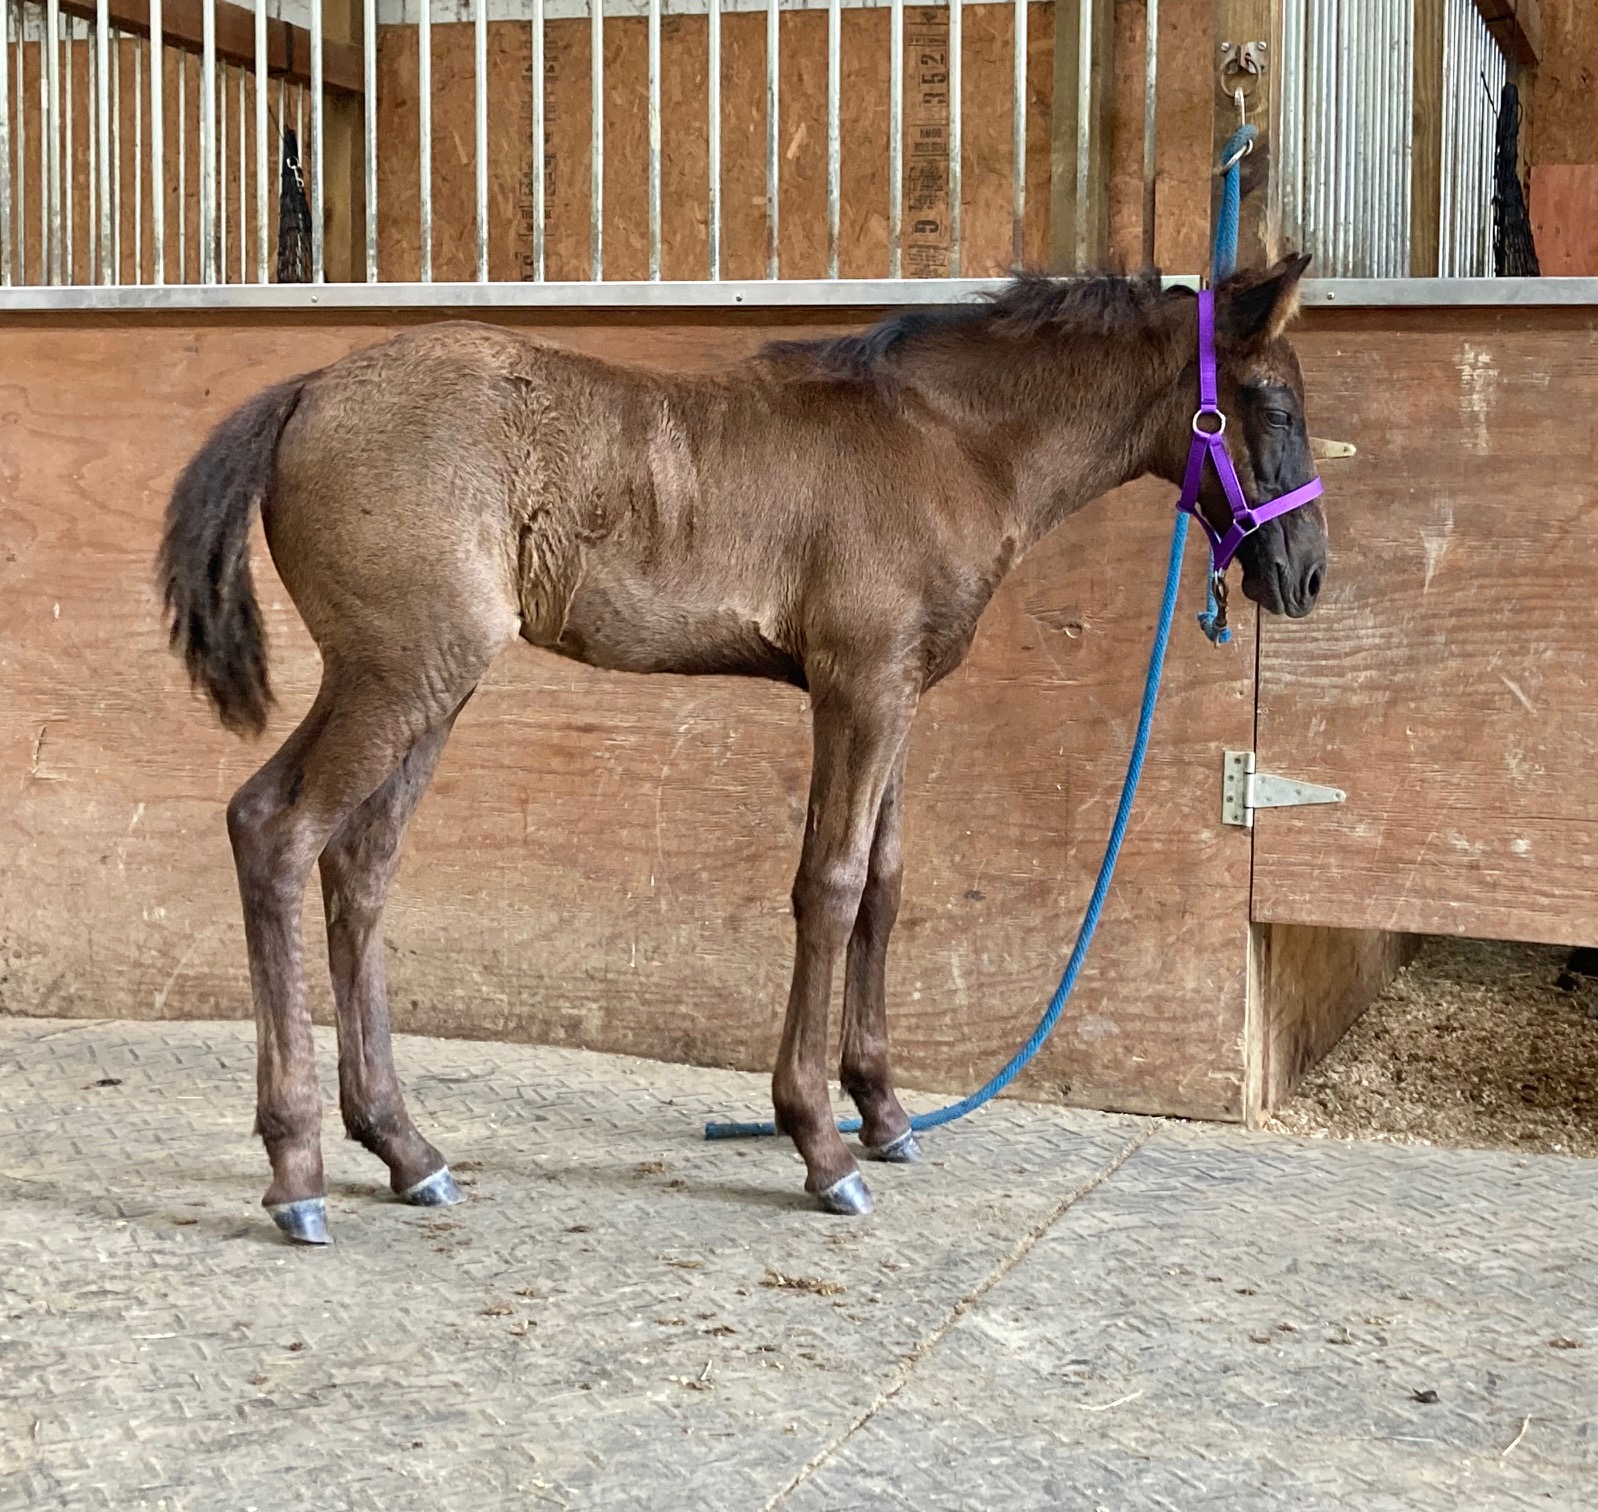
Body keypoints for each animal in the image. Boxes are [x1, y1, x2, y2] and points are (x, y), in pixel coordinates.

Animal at [157, 256, 1328, 1245]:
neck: (944, 442)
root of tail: (309, 389)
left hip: (426, 687)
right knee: (274, 830)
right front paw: (820, 1146)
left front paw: (883, 1114)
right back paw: (299, 1173)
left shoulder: (898, 696)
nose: (1306, 575)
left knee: (357, 864)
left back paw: (404, 1150)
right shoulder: (857, 686)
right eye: (1272, 406)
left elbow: (886, 885)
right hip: (399, 677)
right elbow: (831, 885)